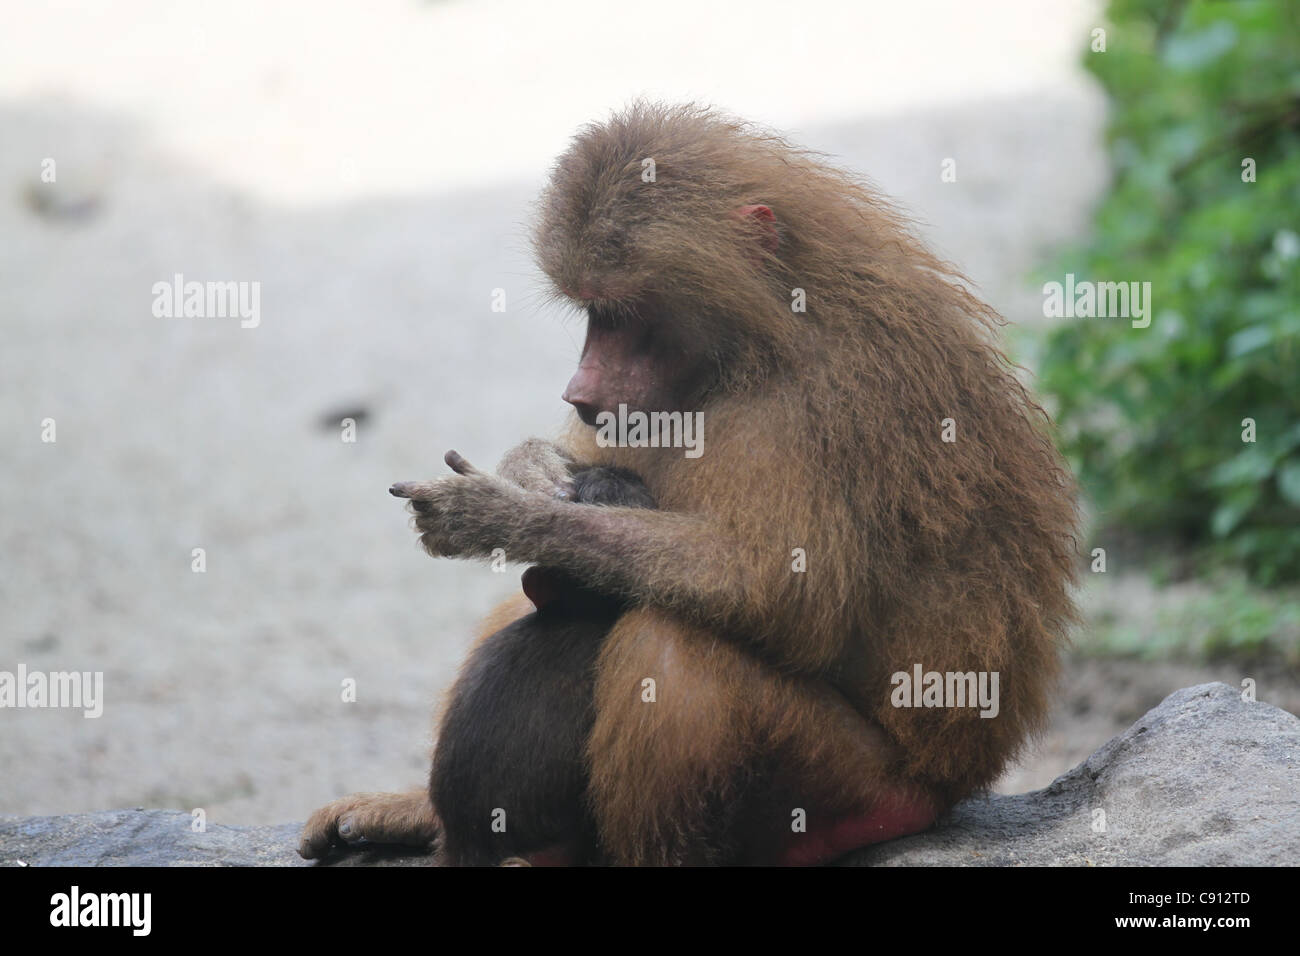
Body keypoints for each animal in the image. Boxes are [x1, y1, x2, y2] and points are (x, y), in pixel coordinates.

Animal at [300, 102, 1079, 866]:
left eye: (621, 314)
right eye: (590, 312)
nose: (579, 392)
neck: (761, 336)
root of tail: (953, 784)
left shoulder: (825, 396)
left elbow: (784, 590)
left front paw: (502, 517)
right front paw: (532, 469)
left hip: (863, 785)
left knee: (673, 650)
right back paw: (425, 817)